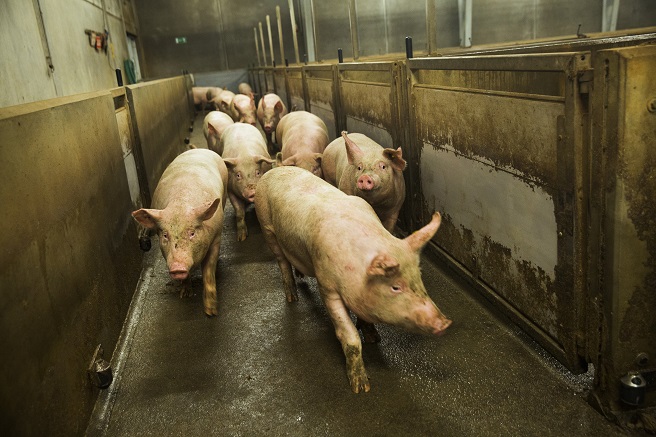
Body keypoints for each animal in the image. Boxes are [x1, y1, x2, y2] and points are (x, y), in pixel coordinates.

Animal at [131, 149, 229, 316]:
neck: (181, 204)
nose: (177, 267)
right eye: (165, 235)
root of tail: (199, 149)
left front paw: (211, 311)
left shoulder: (216, 237)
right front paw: (185, 294)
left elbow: (208, 270)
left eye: (192, 233)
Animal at [255, 166, 451, 393]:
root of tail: (276, 169)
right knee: (282, 262)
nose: (445, 323)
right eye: (395, 287)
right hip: (266, 227)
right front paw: (361, 387)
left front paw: (374, 338)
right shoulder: (327, 287)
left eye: (418, 278)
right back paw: (292, 298)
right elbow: (349, 337)